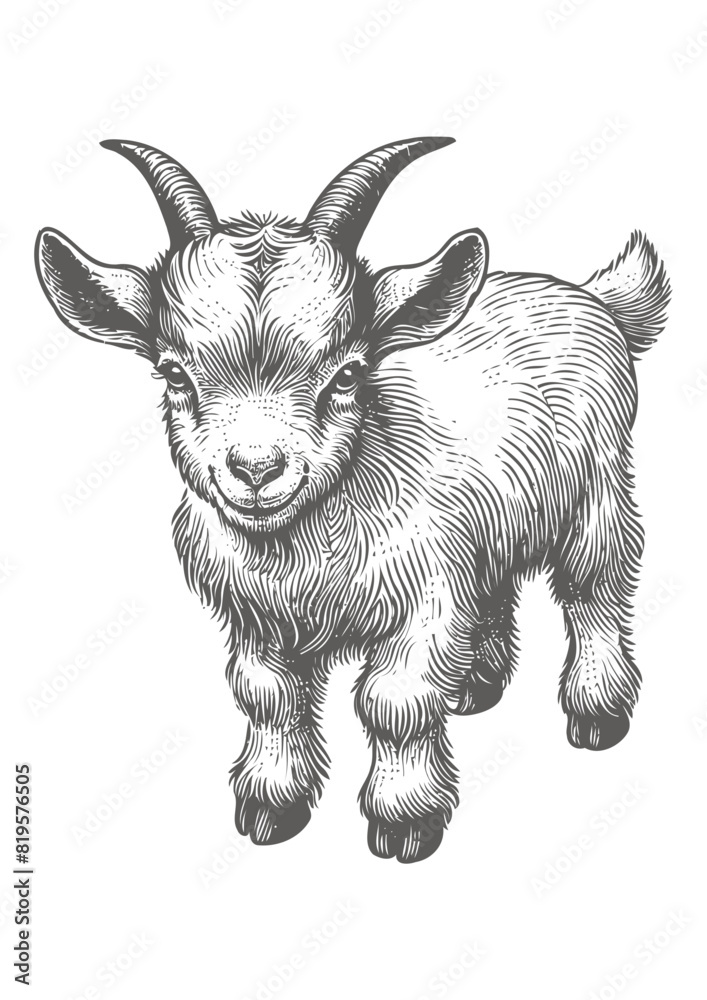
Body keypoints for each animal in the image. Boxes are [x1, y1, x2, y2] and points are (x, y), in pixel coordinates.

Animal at [36, 137, 670, 862]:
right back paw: (476, 687)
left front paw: (405, 824)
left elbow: (394, 702)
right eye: (173, 373)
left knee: (594, 587)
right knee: (499, 582)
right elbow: (267, 697)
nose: (256, 470)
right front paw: (271, 807)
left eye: (346, 375)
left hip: (598, 494)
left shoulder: (422, 600)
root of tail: (593, 297)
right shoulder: (260, 619)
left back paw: (597, 713)